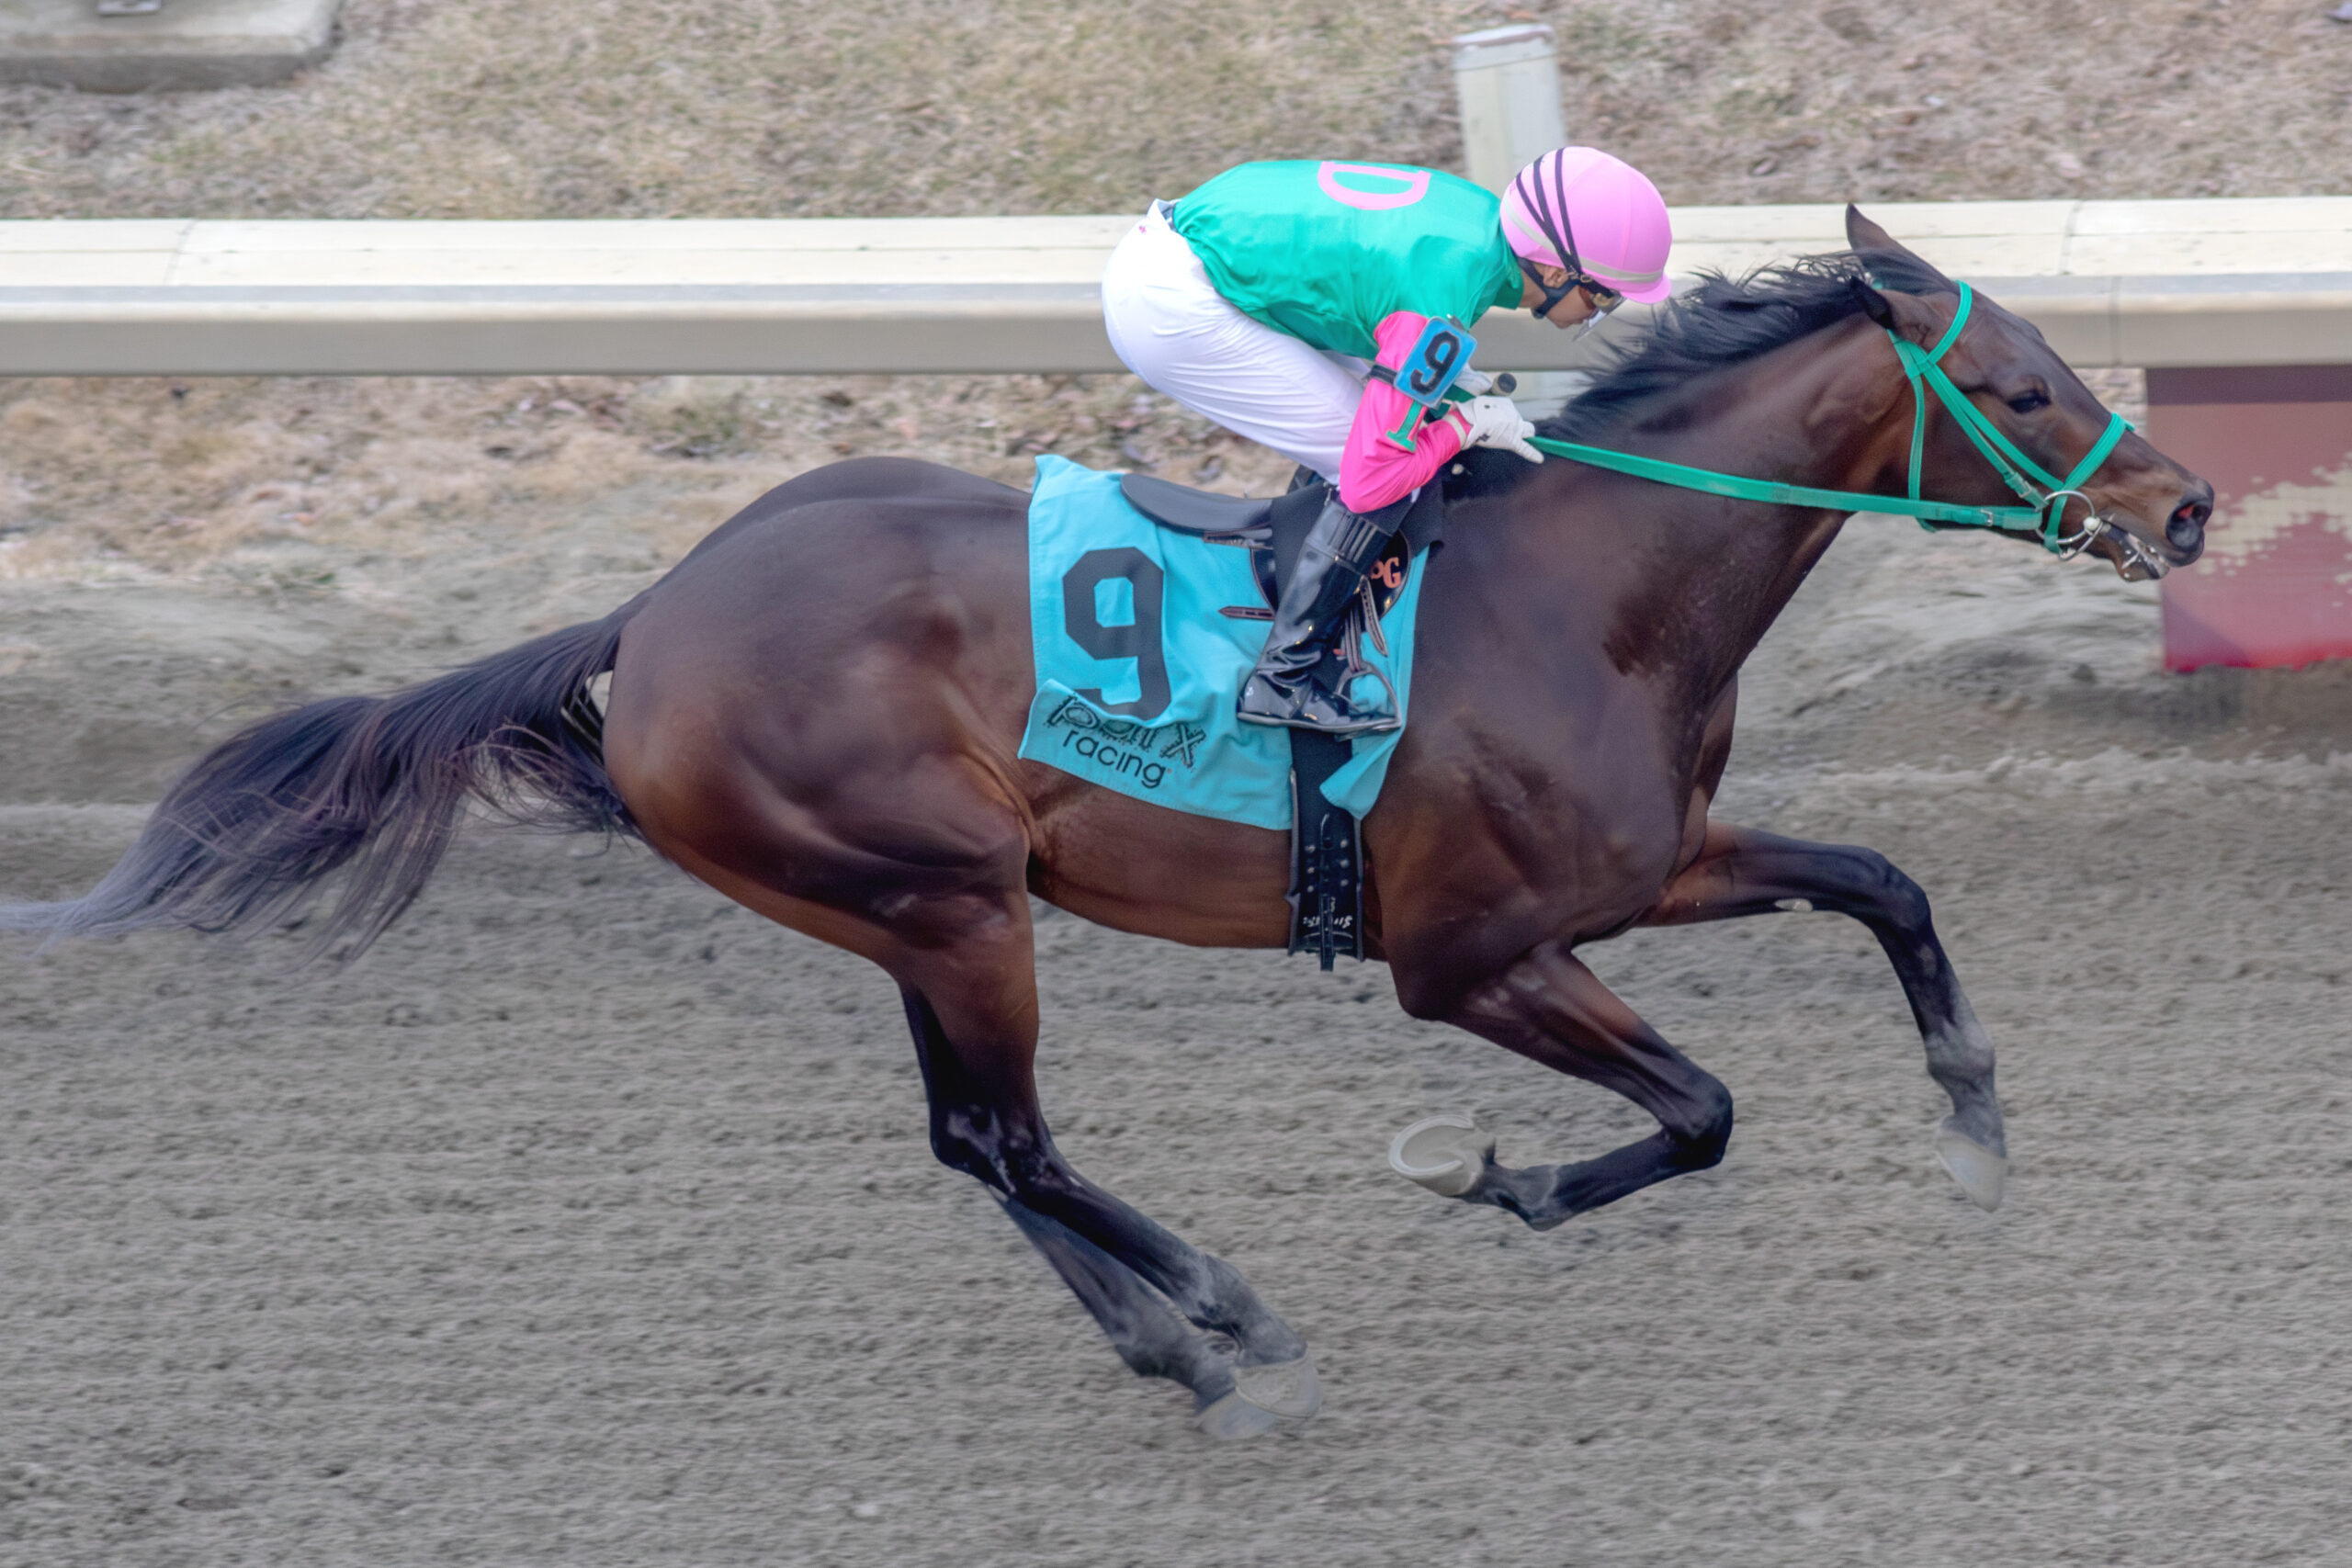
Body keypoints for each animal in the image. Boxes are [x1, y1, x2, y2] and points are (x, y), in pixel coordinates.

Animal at [1, 209, 2211, 1439]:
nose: (2184, 505)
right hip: (946, 898)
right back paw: (1227, 1318)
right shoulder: (1465, 960)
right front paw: (1489, 1178)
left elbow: (1887, 887)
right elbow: (1698, 1110)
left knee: (976, 1141)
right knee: (1009, 1135)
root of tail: (653, 612)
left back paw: (1189, 1342)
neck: (1583, 588)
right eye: (2021, 383)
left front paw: (1976, 1128)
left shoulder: (1655, 863)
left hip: (921, 912)